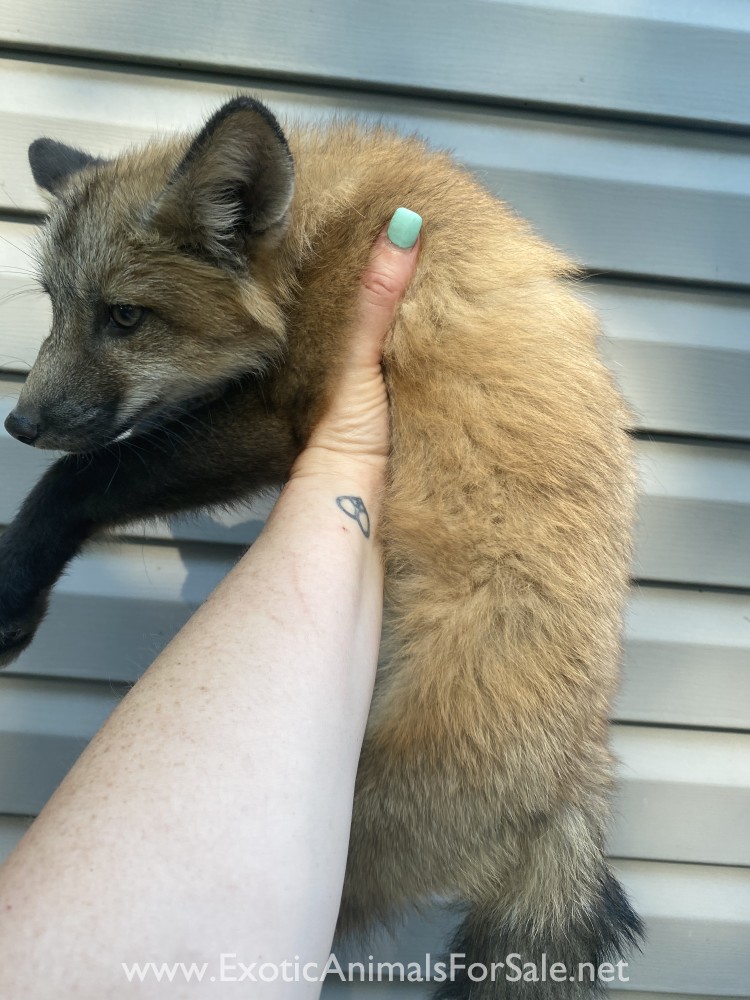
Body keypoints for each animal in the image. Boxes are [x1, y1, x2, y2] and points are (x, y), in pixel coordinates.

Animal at [0, 96, 642, 995]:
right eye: (55, 306)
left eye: (124, 316)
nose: (17, 424)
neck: (336, 233)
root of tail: (577, 779)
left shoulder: (287, 411)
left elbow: (80, 480)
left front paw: (12, 585)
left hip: (343, 858)